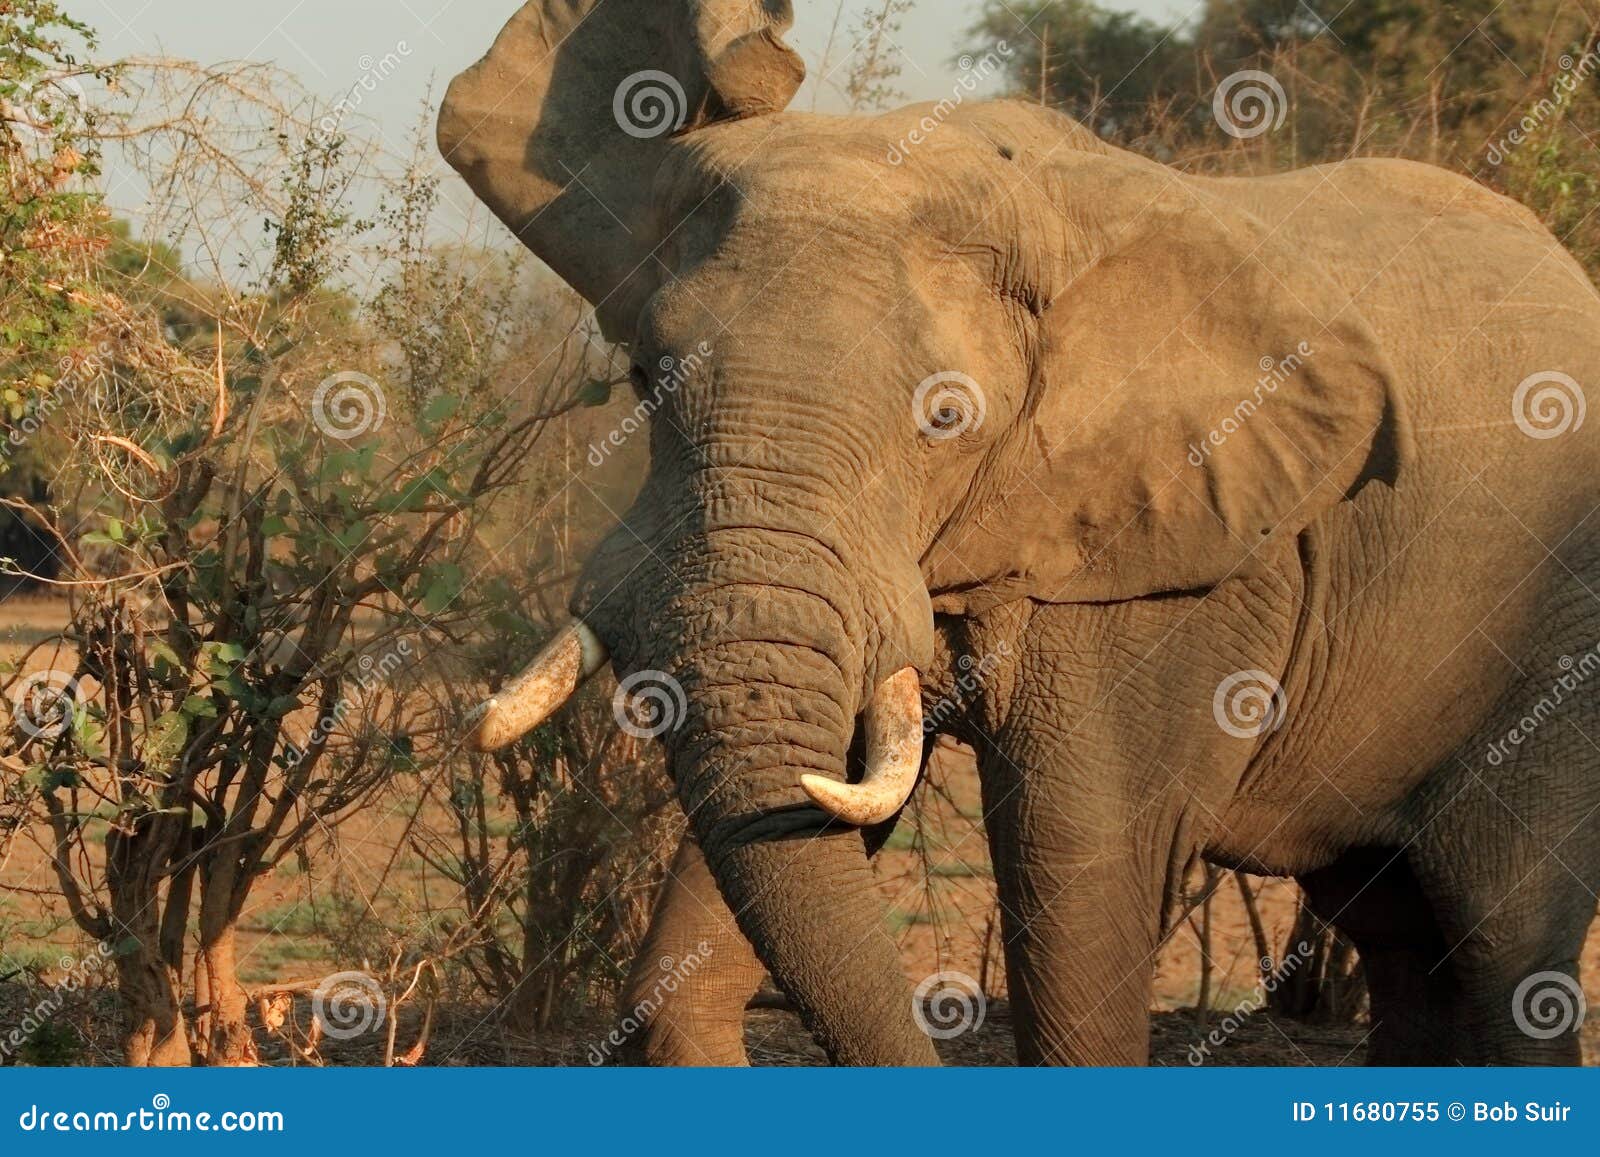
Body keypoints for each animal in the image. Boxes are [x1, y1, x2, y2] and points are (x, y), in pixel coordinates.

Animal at [439, 0, 1600, 1065]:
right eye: (642, 376)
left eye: (947, 417)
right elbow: (793, 822)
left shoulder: (1177, 577)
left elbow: (1079, 878)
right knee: (1402, 938)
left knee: (1505, 948)